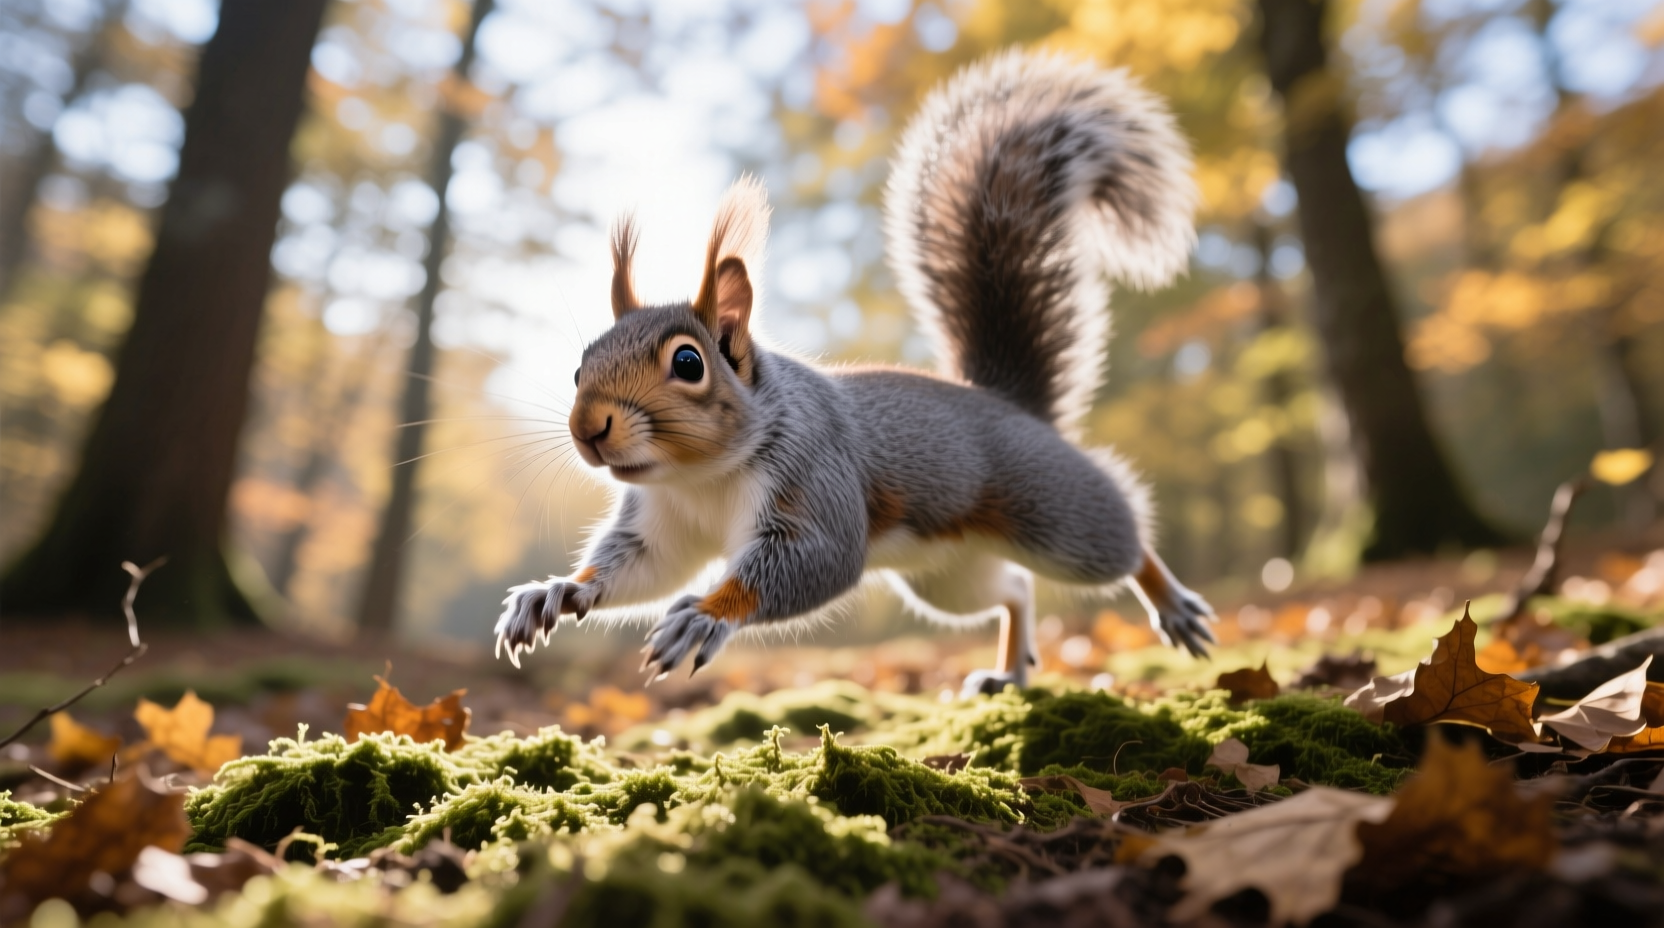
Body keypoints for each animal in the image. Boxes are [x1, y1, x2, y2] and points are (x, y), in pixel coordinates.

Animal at [494, 50, 1216, 694]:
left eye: (689, 362)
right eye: (582, 363)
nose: (588, 427)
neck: (700, 479)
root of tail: (1011, 403)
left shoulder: (815, 477)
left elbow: (814, 563)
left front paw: (703, 616)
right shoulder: (661, 524)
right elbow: (643, 569)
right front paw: (556, 591)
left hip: (1053, 514)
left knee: (1119, 542)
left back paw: (1171, 602)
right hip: (945, 574)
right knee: (1013, 588)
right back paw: (1008, 671)